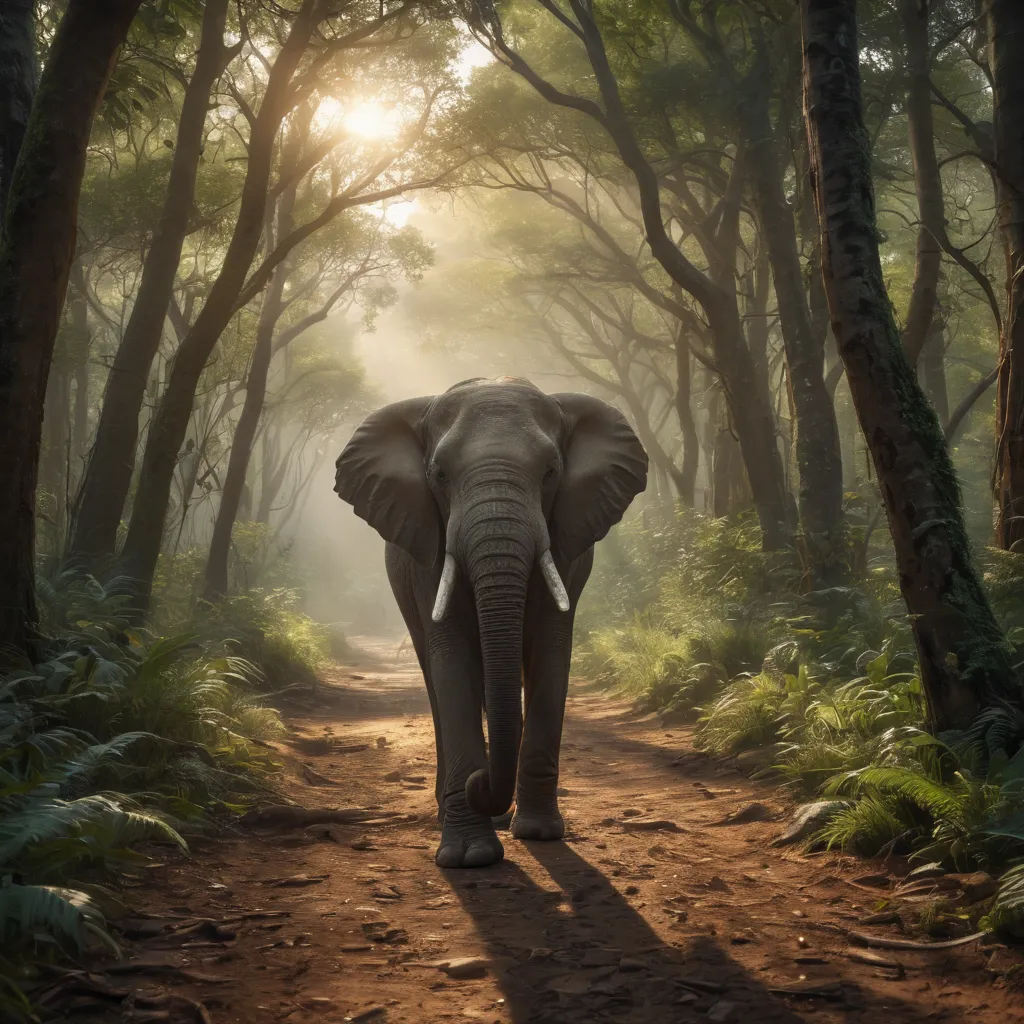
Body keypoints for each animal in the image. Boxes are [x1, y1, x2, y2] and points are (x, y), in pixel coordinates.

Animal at [334, 377, 648, 868]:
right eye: (440, 475)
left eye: (550, 472)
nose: (478, 784)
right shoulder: (428, 547)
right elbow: (451, 657)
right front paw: (467, 856)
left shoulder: (566, 542)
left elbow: (549, 649)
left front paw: (539, 833)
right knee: (433, 675)